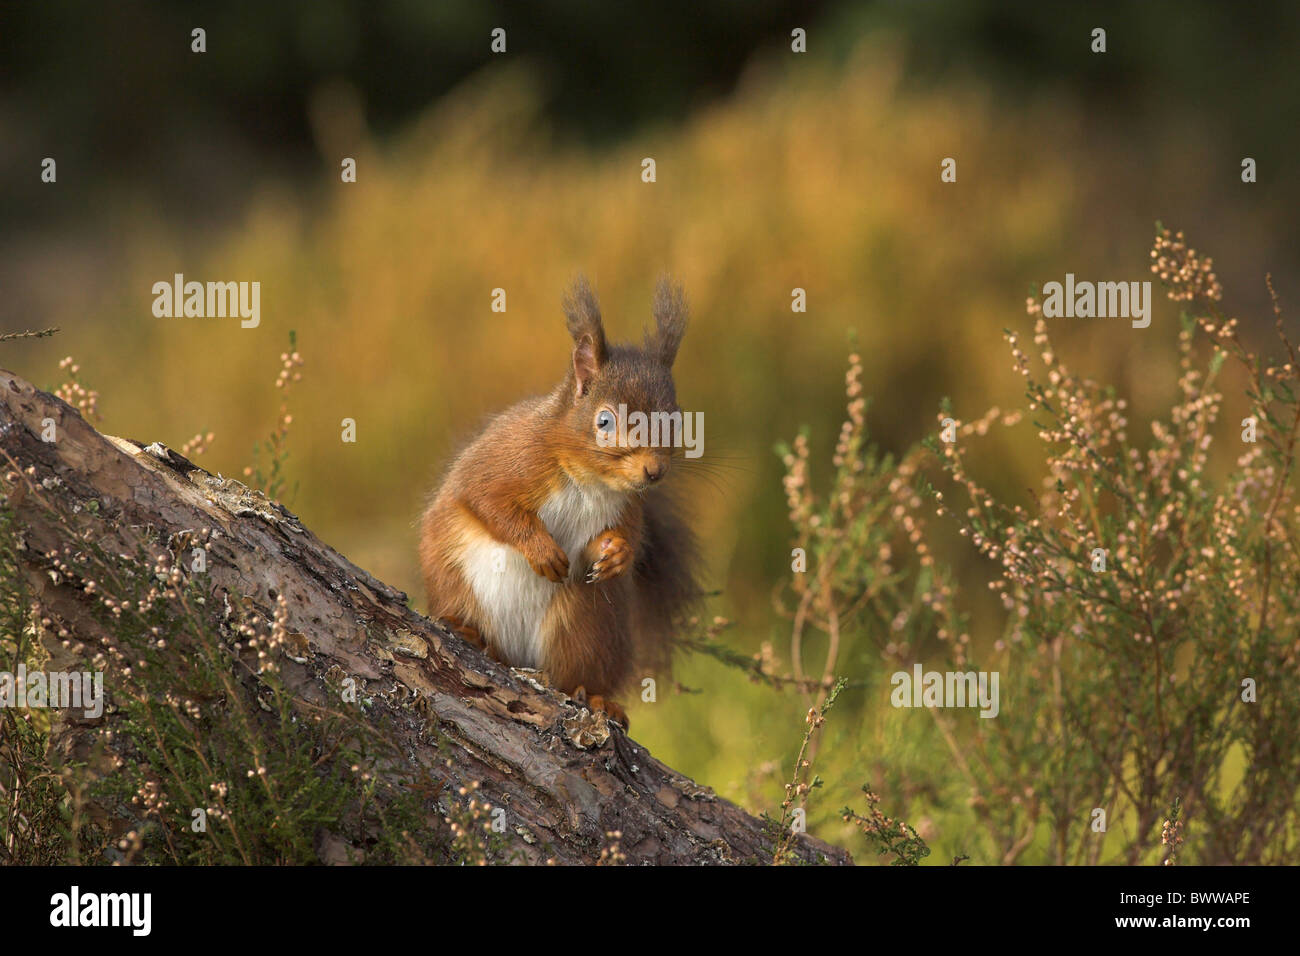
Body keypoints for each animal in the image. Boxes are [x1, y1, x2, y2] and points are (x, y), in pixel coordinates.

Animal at [419, 276, 700, 727]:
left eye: (676, 418)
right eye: (604, 420)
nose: (654, 471)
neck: (590, 481)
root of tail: (517, 657)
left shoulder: (629, 508)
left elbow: (629, 538)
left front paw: (617, 553)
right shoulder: (508, 460)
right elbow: (488, 502)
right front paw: (542, 550)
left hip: (588, 623)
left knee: (576, 675)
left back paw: (597, 697)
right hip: (455, 579)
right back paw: (469, 633)